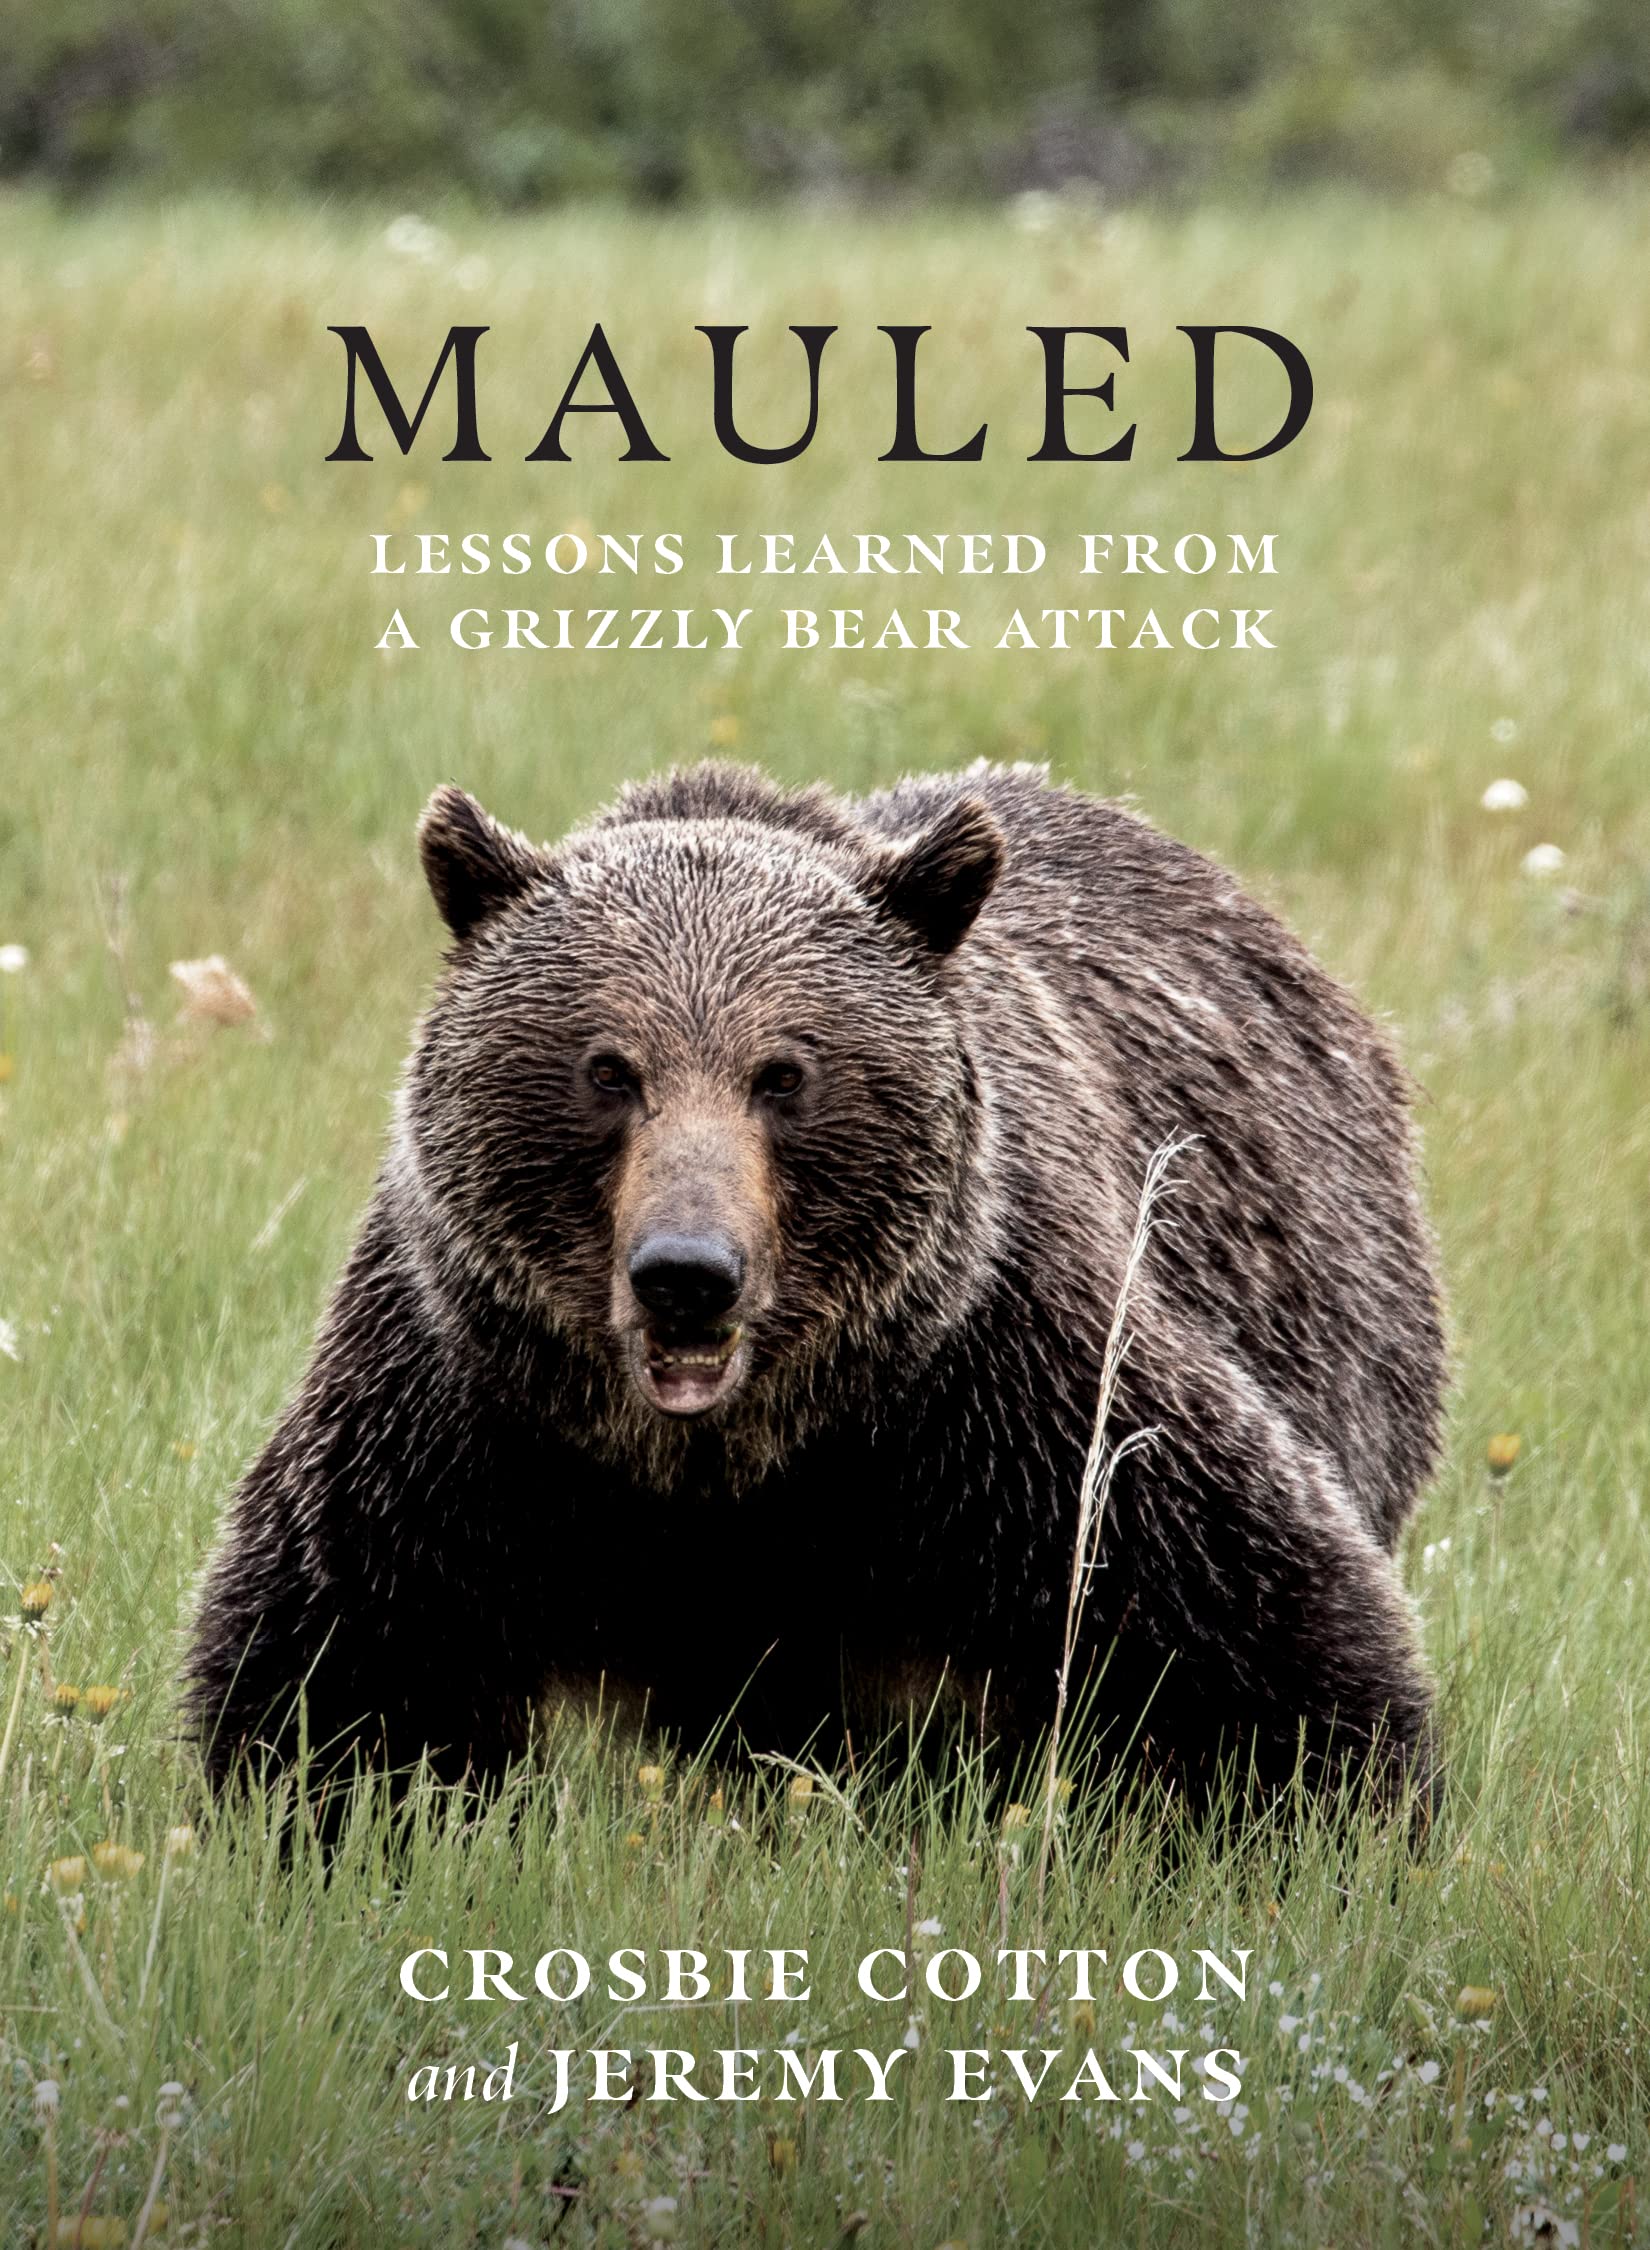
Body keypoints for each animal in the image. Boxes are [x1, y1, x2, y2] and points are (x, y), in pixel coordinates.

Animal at [183, 760, 1446, 1812]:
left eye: (784, 1073)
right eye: (608, 1069)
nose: (688, 1273)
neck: (729, 1465)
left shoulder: (1010, 1395)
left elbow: (1260, 1634)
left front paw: (1325, 1817)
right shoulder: (465, 1429)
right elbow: (340, 1672)